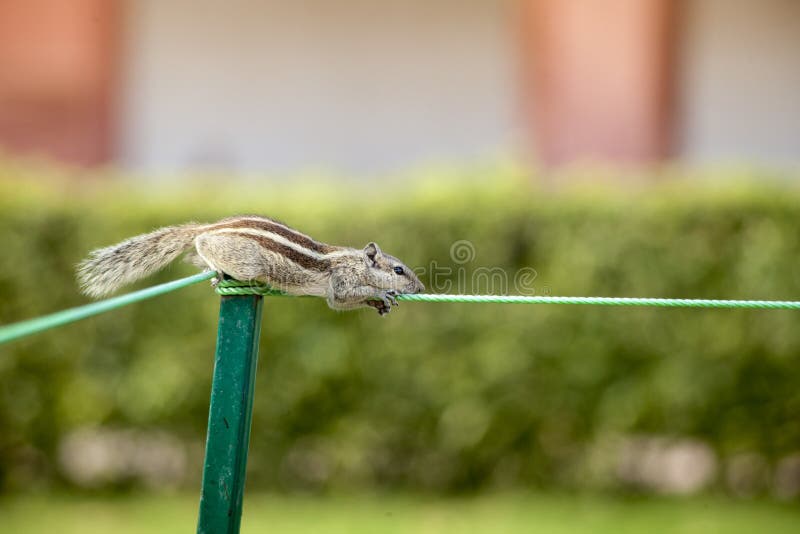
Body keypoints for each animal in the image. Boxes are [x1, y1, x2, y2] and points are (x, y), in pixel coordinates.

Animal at [77, 215, 424, 315]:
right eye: (398, 270)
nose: (421, 287)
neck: (355, 262)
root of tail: (213, 226)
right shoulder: (340, 282)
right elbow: (340, 298)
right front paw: (381, 295)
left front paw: (379, 304)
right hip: (247, 263)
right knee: (202, 244)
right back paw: (212, 266)